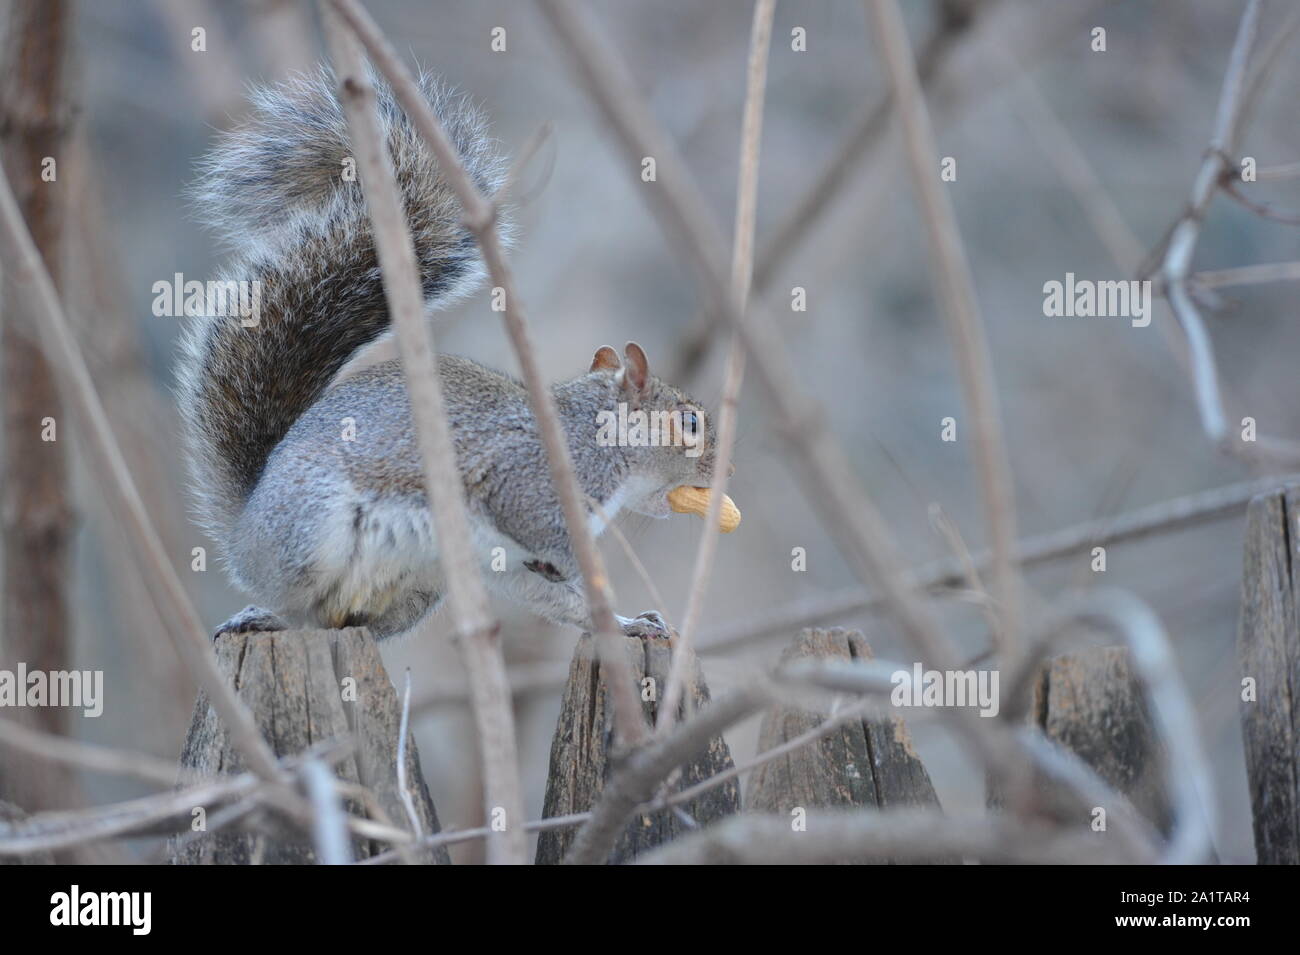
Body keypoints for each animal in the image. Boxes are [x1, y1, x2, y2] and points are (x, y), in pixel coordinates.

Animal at [176, 69, 733, 641]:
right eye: (690, 423)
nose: (724, 473)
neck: (595, 432)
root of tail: (244, 529)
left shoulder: (510, 564)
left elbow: (560, 600)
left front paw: (627, 624)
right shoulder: (527, 485)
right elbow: (545, 541)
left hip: (418, 584)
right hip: (310, 531)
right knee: (294, 605)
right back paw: (262, 615)